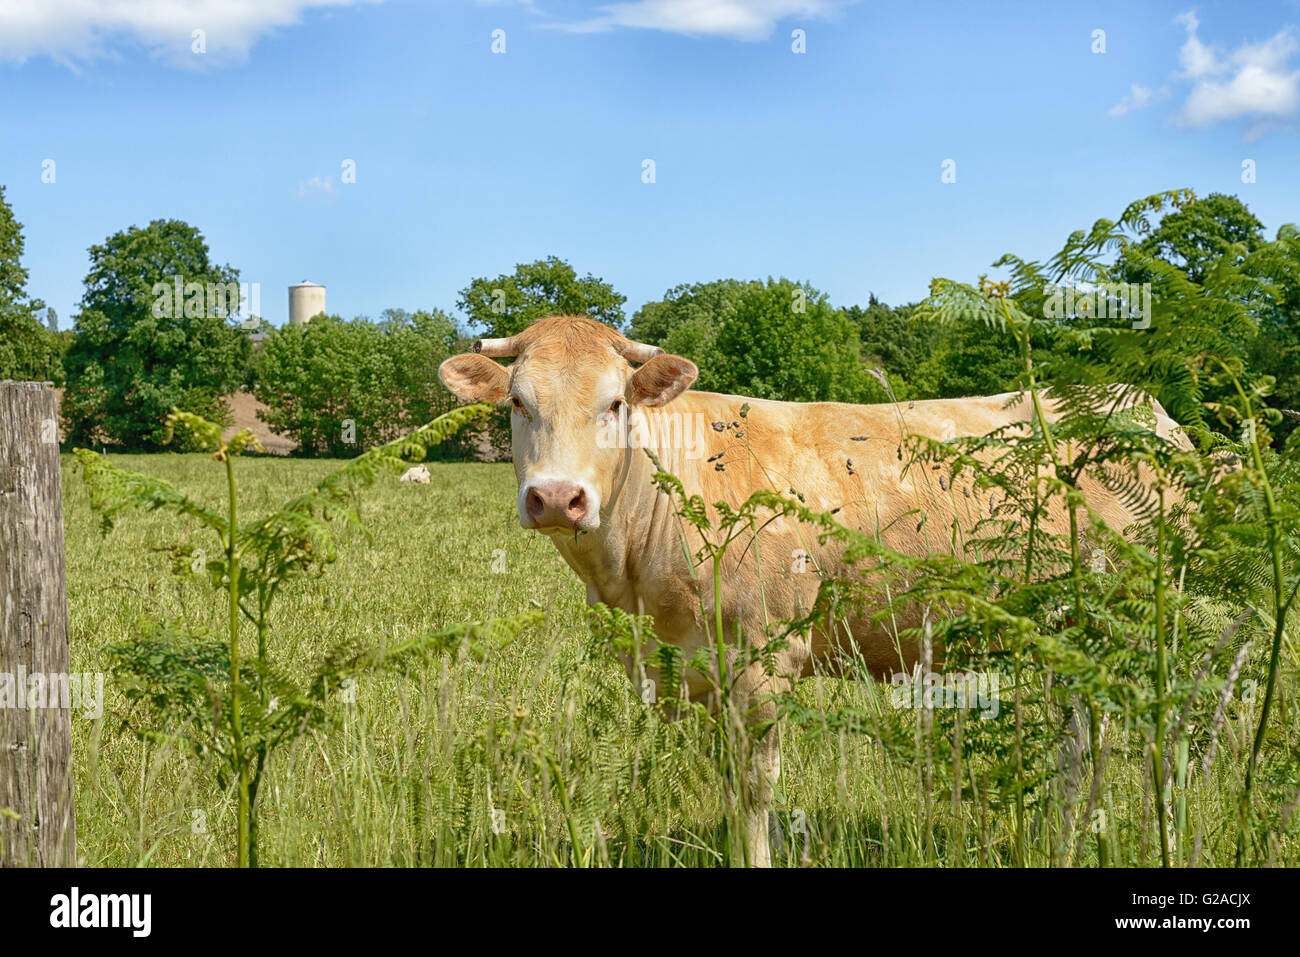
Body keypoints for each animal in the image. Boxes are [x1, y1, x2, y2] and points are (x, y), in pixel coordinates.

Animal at [438, 314, 1189, 866]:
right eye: (517, 403)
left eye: (614, 402)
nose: (556, 497)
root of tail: (1147, 408)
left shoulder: (763, 659)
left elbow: (754, 788)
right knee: (1080, 742)